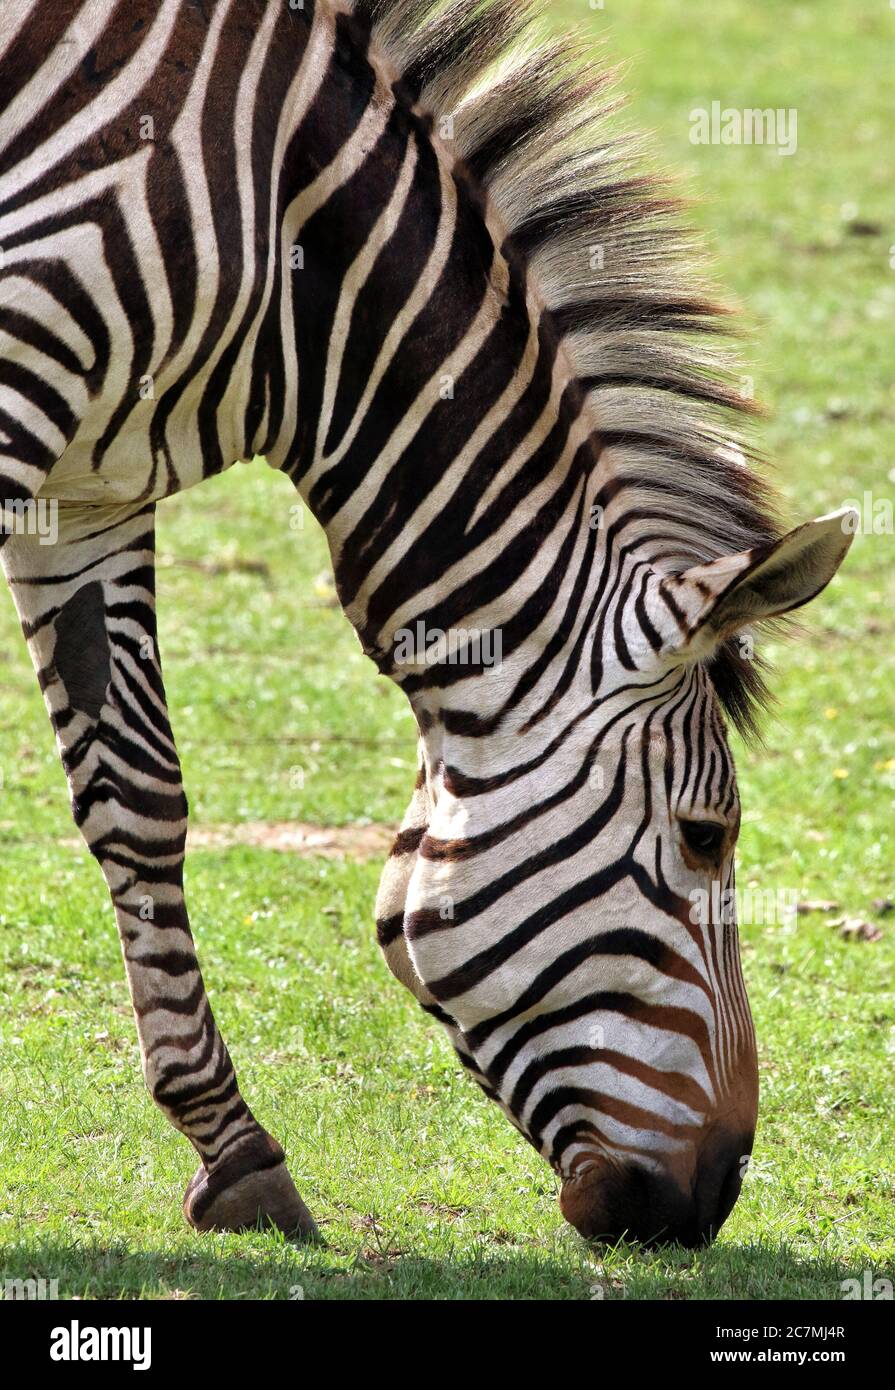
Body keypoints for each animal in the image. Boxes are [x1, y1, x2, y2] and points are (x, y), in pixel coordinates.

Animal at [0, 0, 856, 1249]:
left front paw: (234, 1150)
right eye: (705, 838)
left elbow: (137, 795)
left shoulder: (90, 484)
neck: (294, 270)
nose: (704, 1205)